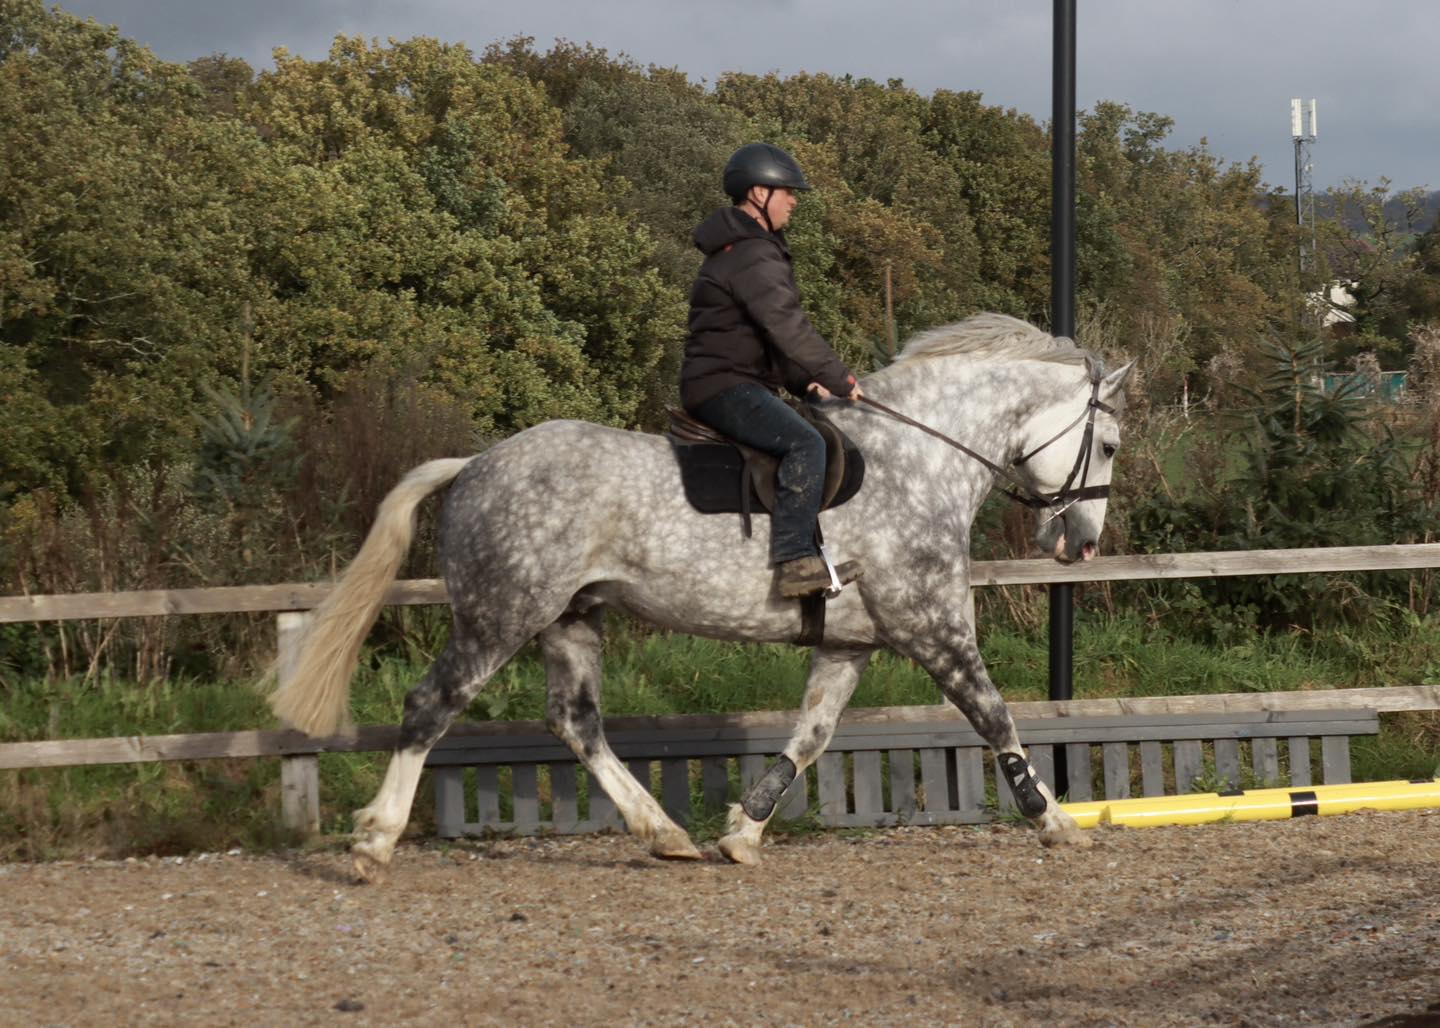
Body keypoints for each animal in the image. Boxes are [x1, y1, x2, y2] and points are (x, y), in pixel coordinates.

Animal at [270, 312, 1133, 879]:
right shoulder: (934, 628)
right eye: (1109, 444)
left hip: (570, 619)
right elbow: (996, 718)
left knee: (576, 722)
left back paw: (664, 834)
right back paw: (374, 842)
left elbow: (810, 737)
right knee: (431, 706)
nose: (1082, 542)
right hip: (498, 615)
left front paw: (742, 832)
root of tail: (476, 464)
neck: (918, 458)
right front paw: (1056, 821)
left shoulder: (849, 644)